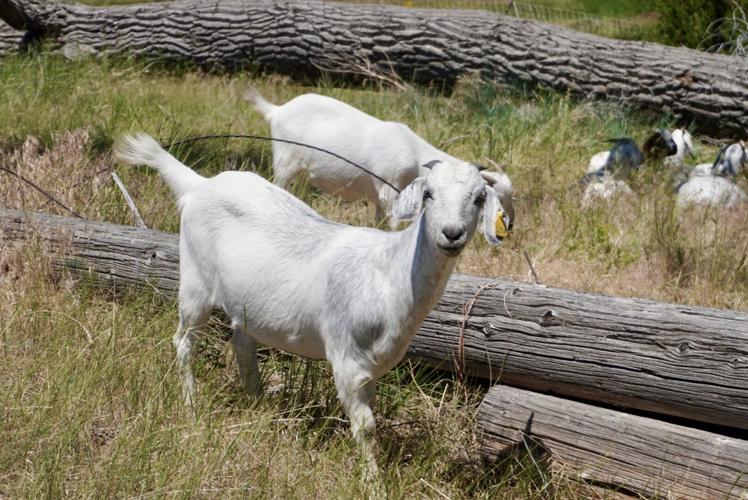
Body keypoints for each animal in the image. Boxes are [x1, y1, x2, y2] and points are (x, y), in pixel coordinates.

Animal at [114, 133, 510, 473]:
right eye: (428, 194)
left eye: (479, 198)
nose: (452, 234)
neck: (387, 273)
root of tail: (200, 186)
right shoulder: (347, 357)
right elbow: (365, 425)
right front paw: (373, 480)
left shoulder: (372, 365)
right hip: (195, 282)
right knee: (184, 342)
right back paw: (191, 406)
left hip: (245, 304)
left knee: (242, 344)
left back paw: (257, 404)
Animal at [243, 88, 514, 228]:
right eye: (489, 195)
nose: (510, 224)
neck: (416, 157)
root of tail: (276, 111)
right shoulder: (390, 190)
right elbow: (394, 224)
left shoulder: (378, 198)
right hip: (285, 162)